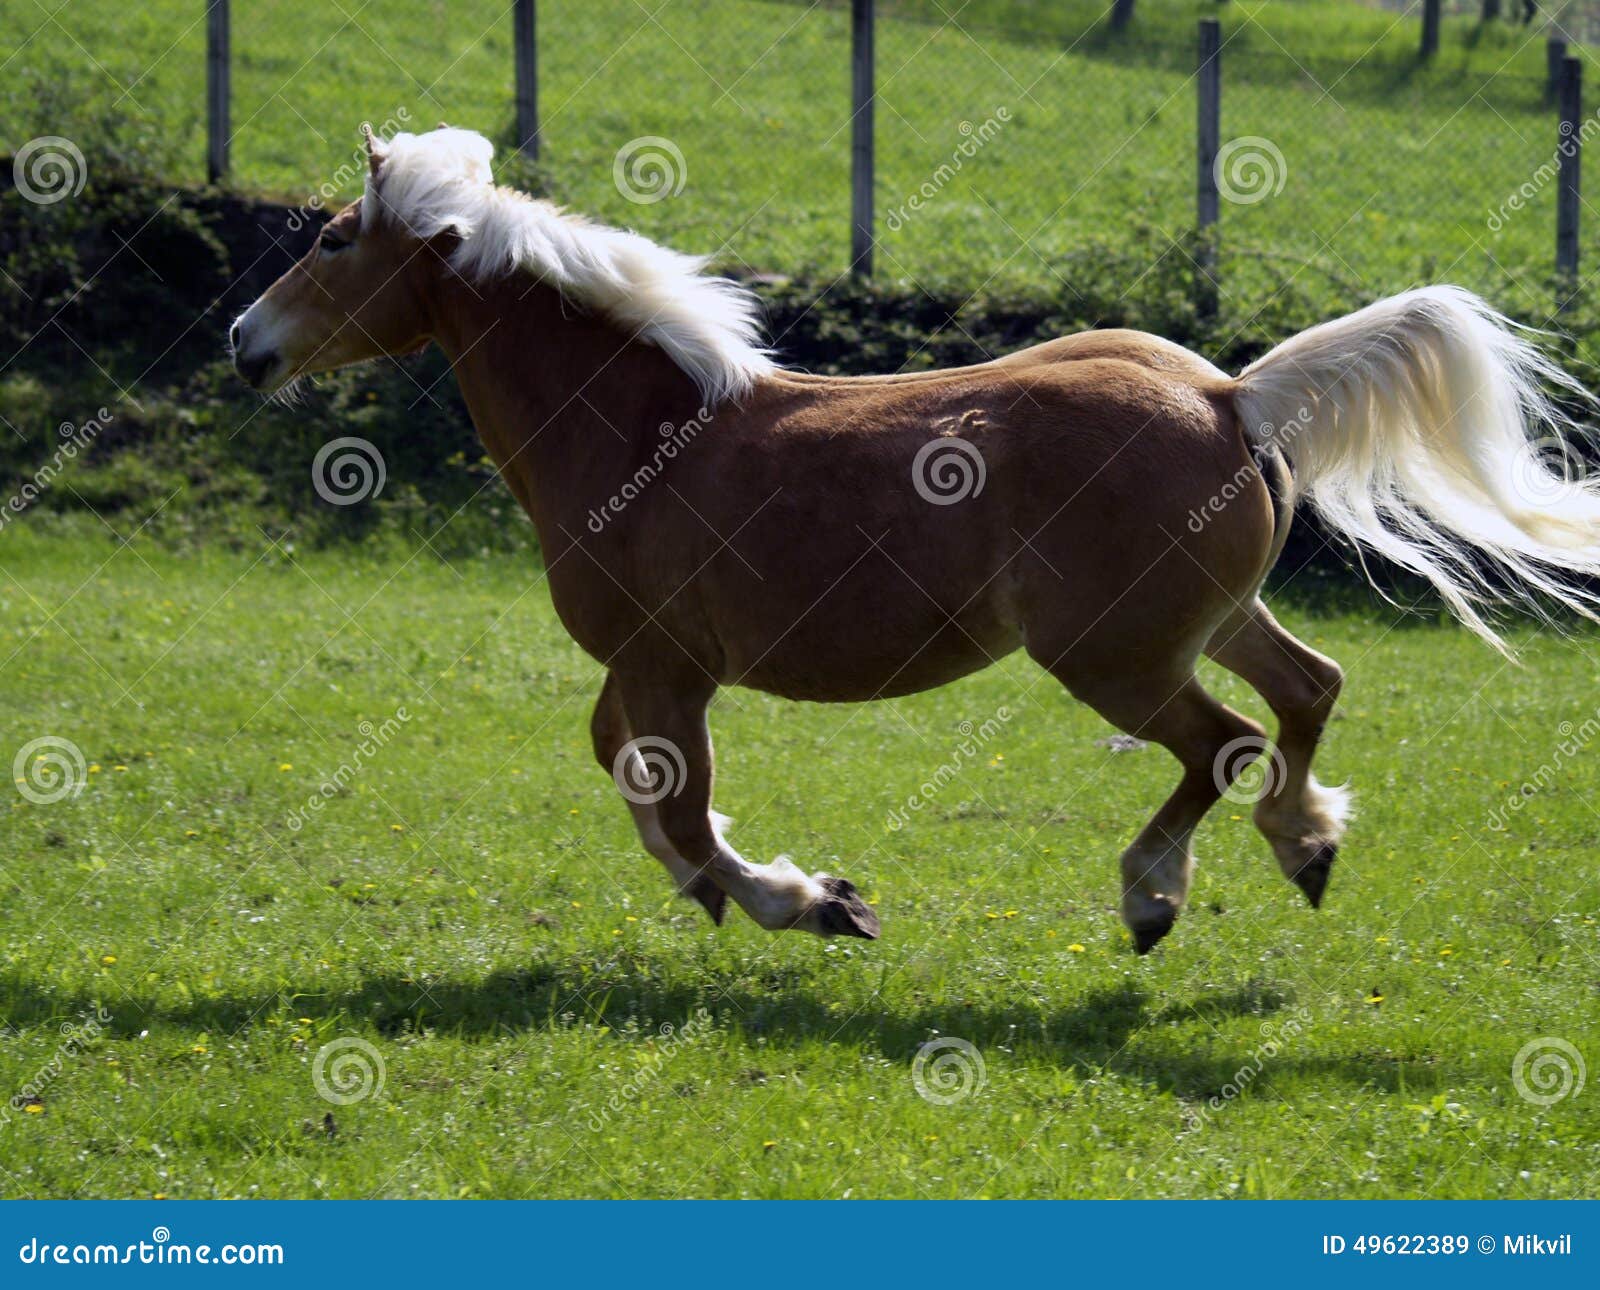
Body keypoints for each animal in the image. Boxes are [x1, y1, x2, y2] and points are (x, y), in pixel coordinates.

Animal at [230, 125, 1600, 953]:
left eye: (334, 238)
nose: (247, 344)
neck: (639, 440)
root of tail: (1228, 395)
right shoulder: (649, 671)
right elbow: (627, 772)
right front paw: (743, 892)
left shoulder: (667, 666)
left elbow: (672, 795)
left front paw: (808, 902)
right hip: (1206, 620)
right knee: (1308, 690)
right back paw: (1305, 844)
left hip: (1112, 658)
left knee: (1225, 743)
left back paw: (1151, 896)